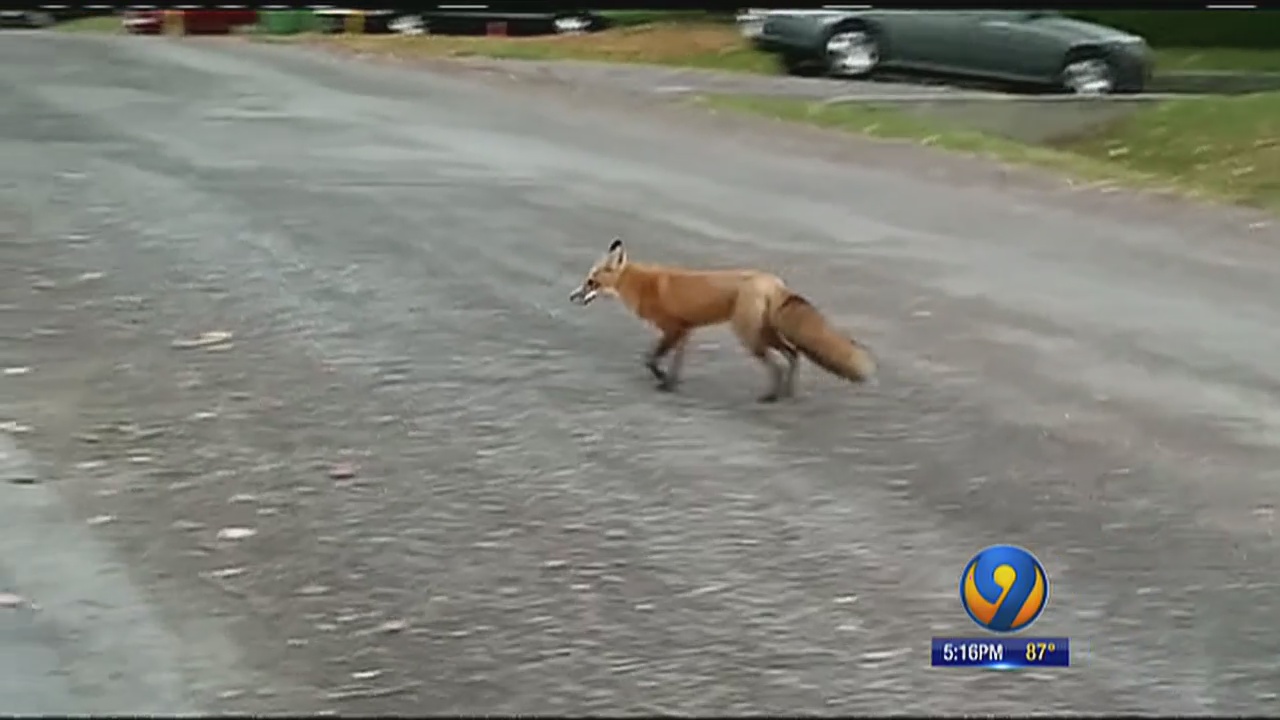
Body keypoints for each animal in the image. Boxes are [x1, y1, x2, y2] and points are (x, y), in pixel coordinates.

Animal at [568, 238, 876, 402]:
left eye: (590, 282)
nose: (571, 297)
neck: (641, 285)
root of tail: (774, 281)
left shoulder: (672, 329)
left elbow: (649, 359)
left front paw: (663, 380)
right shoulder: (685, 331)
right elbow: (674, 363)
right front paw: (670, 384)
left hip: (749, 336)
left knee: (780, 363)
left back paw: (771, 396)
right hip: (764, 334)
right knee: (794, 354)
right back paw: (787, 393)